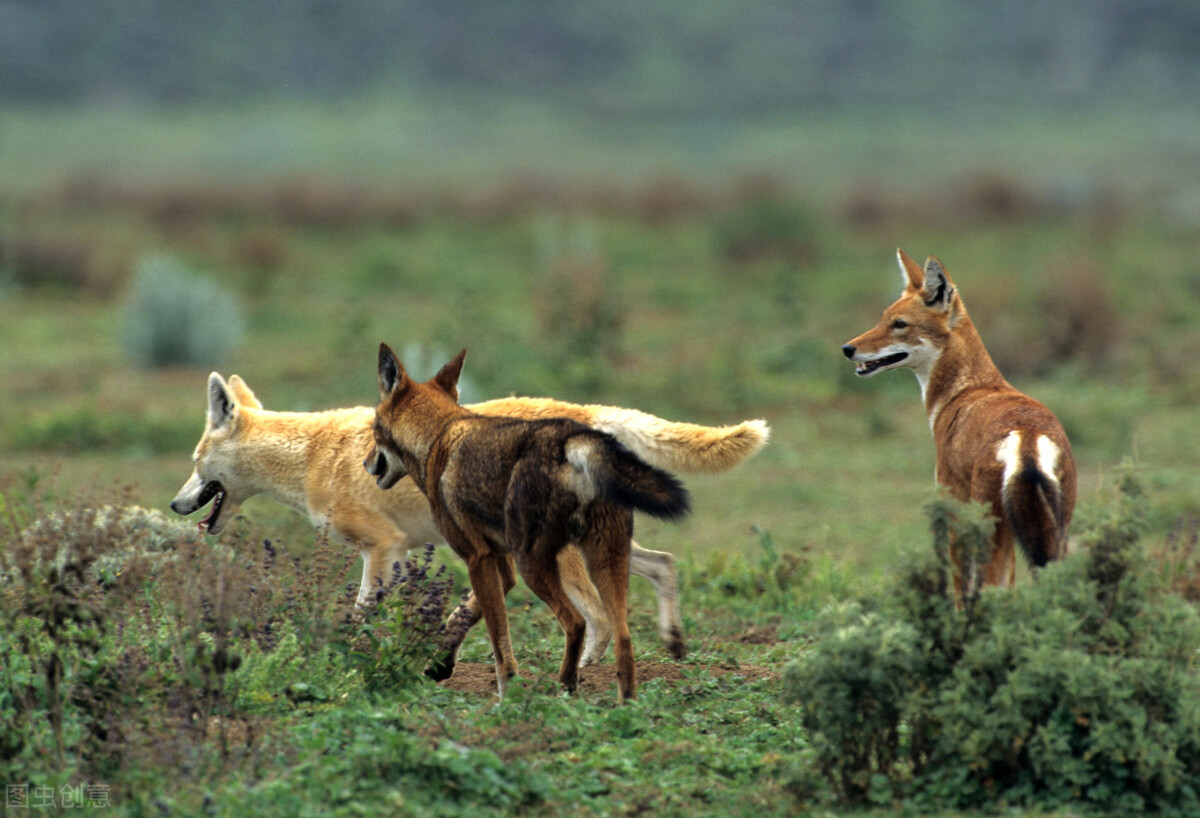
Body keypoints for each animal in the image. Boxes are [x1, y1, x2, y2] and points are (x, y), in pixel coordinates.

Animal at [171, 370, 767, 674]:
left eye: (196, 462)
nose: (176, 506)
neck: (312, 457)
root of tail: (586, 415)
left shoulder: (382, 550)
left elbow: (361, 616)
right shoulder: (402, 553)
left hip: (562, 556)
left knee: (598, 617)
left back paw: (589, 670)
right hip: (596, 546)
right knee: (661, 566)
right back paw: (669, 643)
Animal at [367, 345, 692, 701]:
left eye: (373, 429)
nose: (367, 464)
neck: (439, 436)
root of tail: (571, 440)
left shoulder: (479, 559)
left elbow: (498, 639)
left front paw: (506, 693)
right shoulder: (500, 565)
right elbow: (463, 614)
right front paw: (439, 665)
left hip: (536, 567)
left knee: (577, 622)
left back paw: (567, 683)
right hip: (602, 561)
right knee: (624, 636)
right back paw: (626, 702)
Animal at [842, 249, 1076, 599]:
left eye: (899, 324)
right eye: (882, 319)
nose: (848, 348)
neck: (964, 390)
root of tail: (1027, 437)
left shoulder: (952, 514)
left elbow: (958, 591)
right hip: (1054, 538)